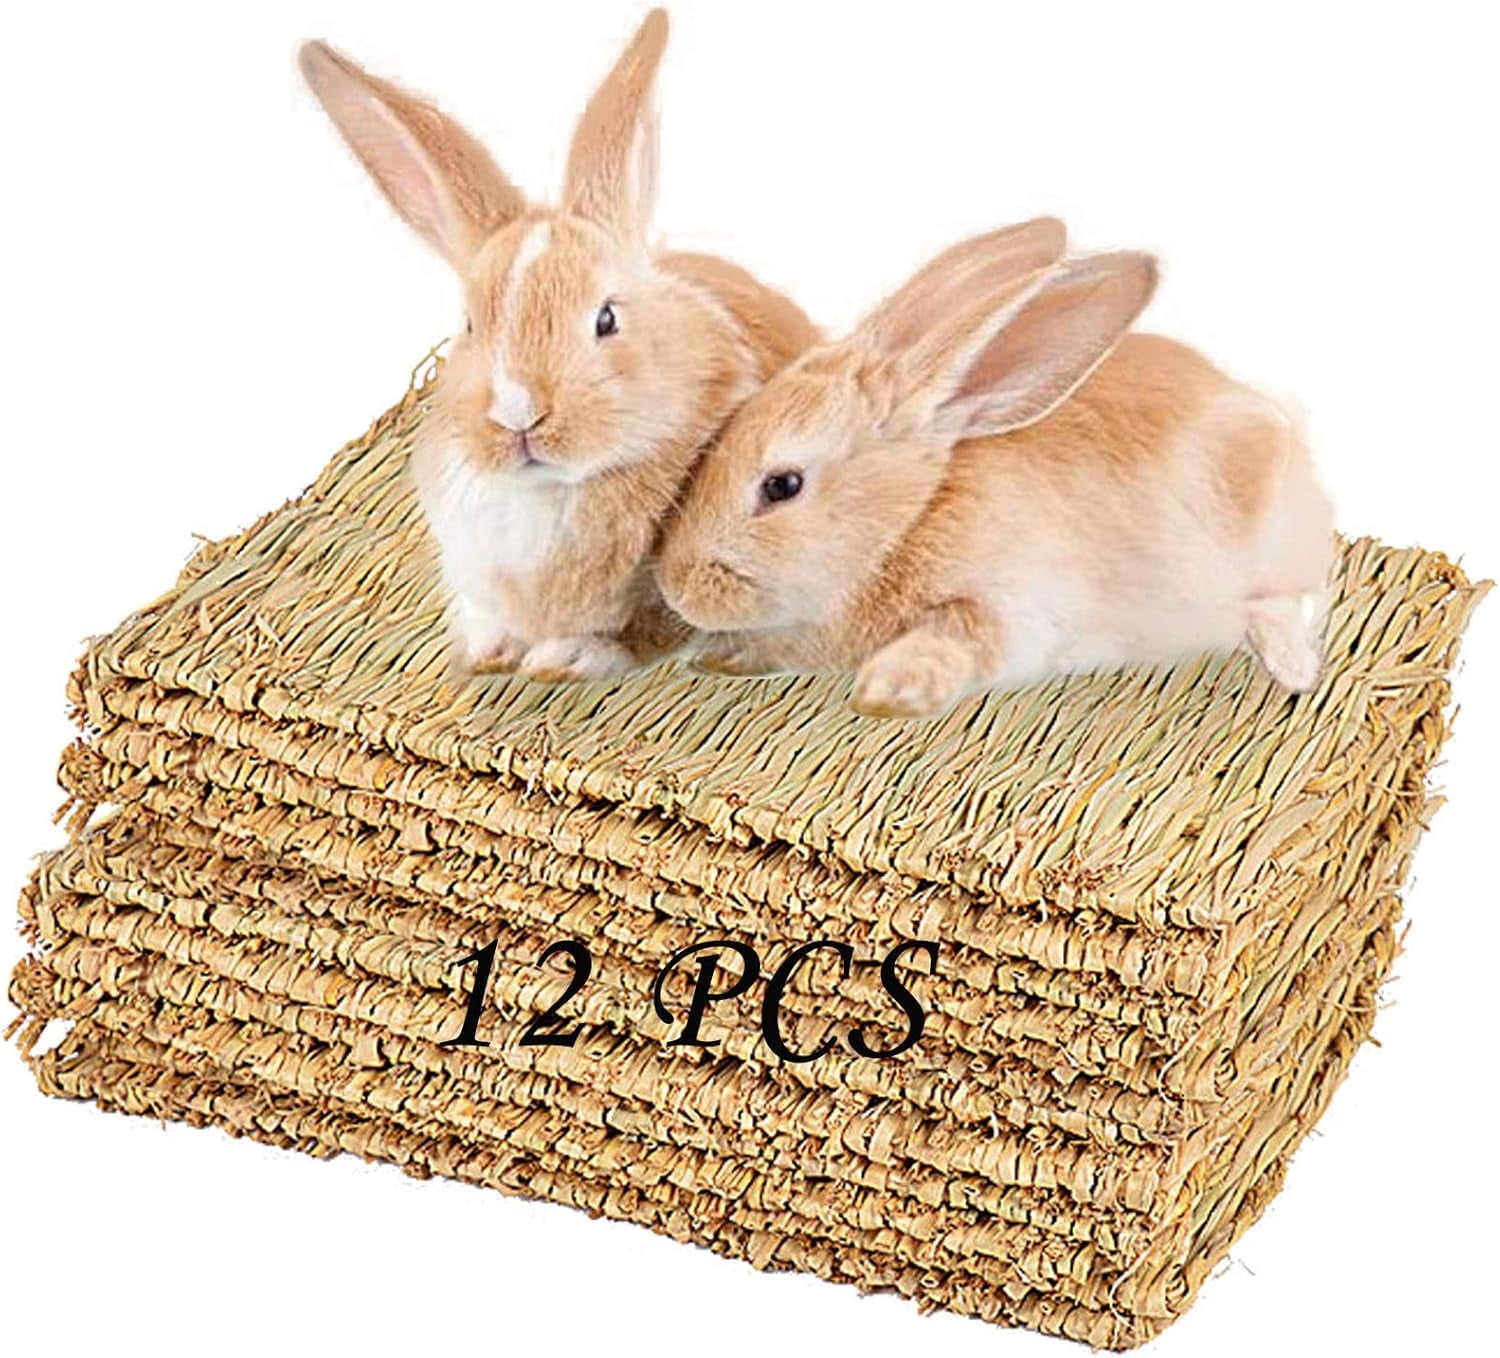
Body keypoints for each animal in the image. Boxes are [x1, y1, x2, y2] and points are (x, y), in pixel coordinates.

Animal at [299, 11, 818, 682]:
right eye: (471, 325)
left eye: (606, 318)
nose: (518, 413)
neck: (549, 493)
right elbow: (483, 615)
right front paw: (489, 653)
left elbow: (639, 635)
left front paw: (561, 658)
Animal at [656, 216, 1334, 719]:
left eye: (782, 485)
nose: (677, 588)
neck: (907, 520)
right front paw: (719, 659)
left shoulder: (1011, 606)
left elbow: (958, 638)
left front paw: (889, 690)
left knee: (1277, 601)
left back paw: (1294, 669)